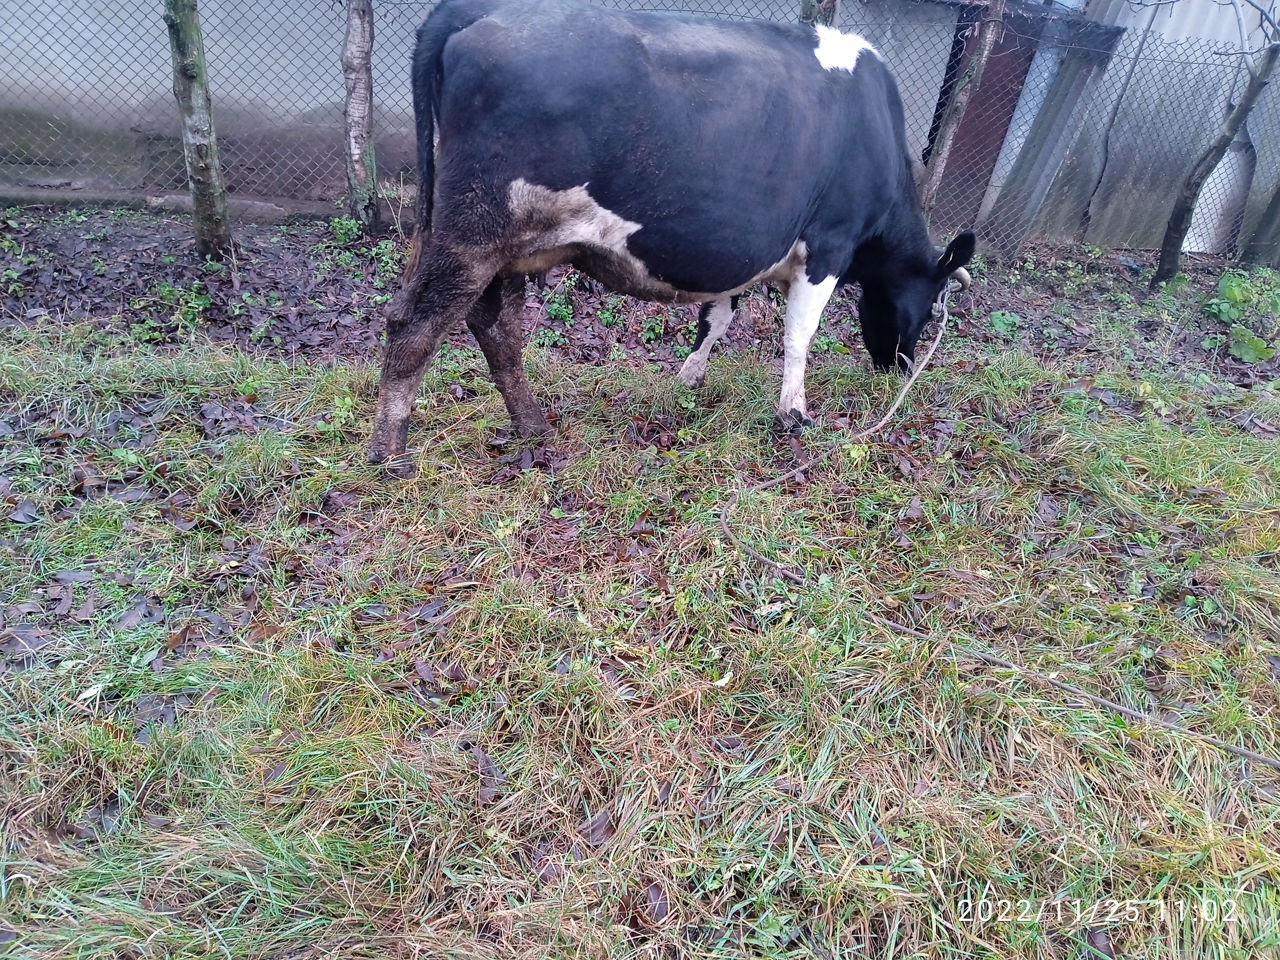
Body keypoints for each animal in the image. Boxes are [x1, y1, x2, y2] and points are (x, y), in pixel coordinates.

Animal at [368, 0, 975, 469]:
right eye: (931, 307)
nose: (899, 368)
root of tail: (474, 9)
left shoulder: (744, 253)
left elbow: (717, 318)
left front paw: (689, 377)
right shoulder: (828, 244)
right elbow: (798, 335)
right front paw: (794, 413)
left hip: (501, 245)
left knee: (496, 327)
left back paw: (533, 427)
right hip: (475, 230)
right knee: (414, 323)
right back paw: (390, 454)